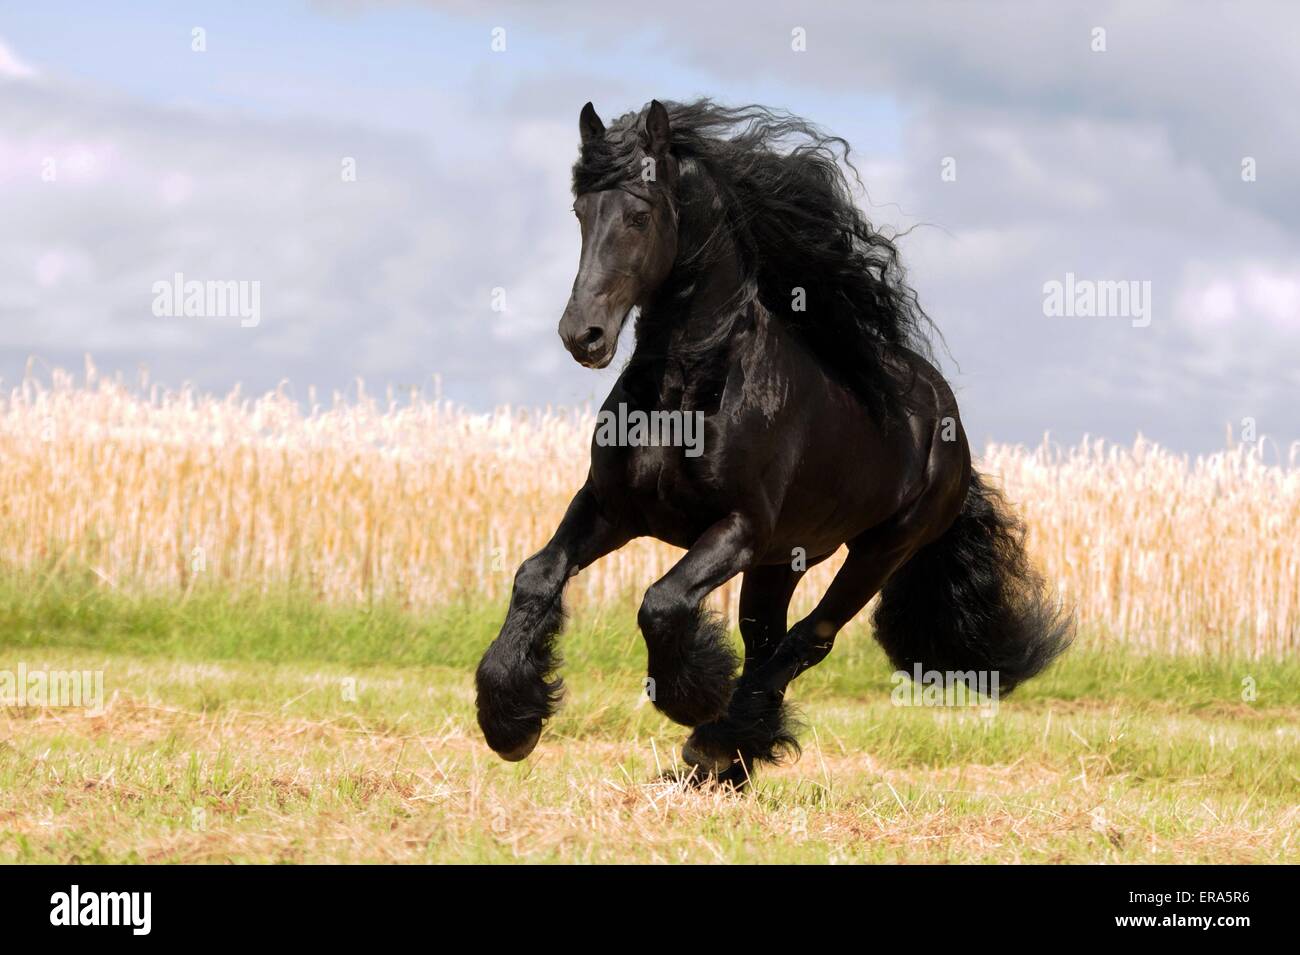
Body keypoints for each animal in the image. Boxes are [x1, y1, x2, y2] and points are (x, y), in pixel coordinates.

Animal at [475, 99, 1073, 787]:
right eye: (580, 212)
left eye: (640, 214)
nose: (584, 335)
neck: (687, 389)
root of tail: (951, 430)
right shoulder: (610, 508)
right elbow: (537, 574)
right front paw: (510, 722)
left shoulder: (738, 528)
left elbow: (663, 602)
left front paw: (692, 696)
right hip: (780, 563)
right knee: (769, 640)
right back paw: (735, 753)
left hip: (877, 551)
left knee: (807, 638)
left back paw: (717, 742)